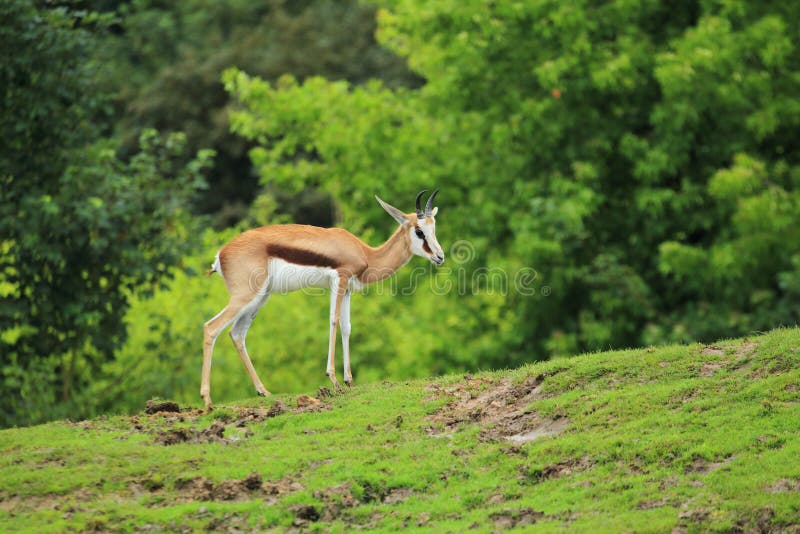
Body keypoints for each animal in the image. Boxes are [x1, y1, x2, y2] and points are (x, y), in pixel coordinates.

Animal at [201, 190, 444, 408]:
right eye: (419, 231)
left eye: (433, 228)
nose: (440, 256)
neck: (367, 254)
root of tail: (220, 255)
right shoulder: (340, 280)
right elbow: (334, 321)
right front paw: (334, 379)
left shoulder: (347, 290)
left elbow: (347, 327)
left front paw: (349, 381)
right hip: (245, 297)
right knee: (211, 327)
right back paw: (208, 400)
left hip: (260, 298)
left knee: (237, 334)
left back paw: (263, 391)